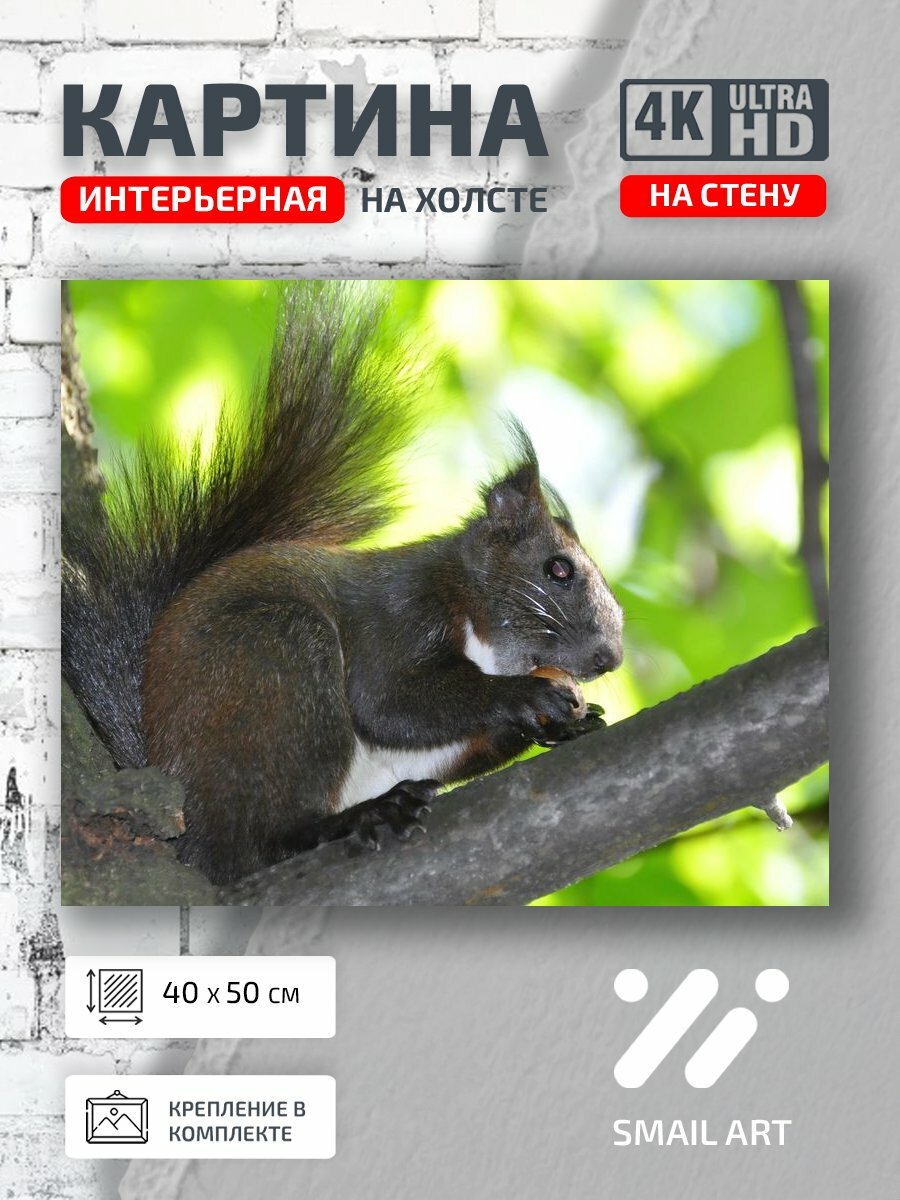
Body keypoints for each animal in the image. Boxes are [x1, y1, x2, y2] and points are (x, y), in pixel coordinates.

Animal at [62, 284, 624, 886]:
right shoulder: (401, 610)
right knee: (256, 841)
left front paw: (568, 724)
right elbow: (387, 700)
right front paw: (533, 695)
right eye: (558, 569)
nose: (609, 658)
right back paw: (353, 818)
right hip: (278, 663)